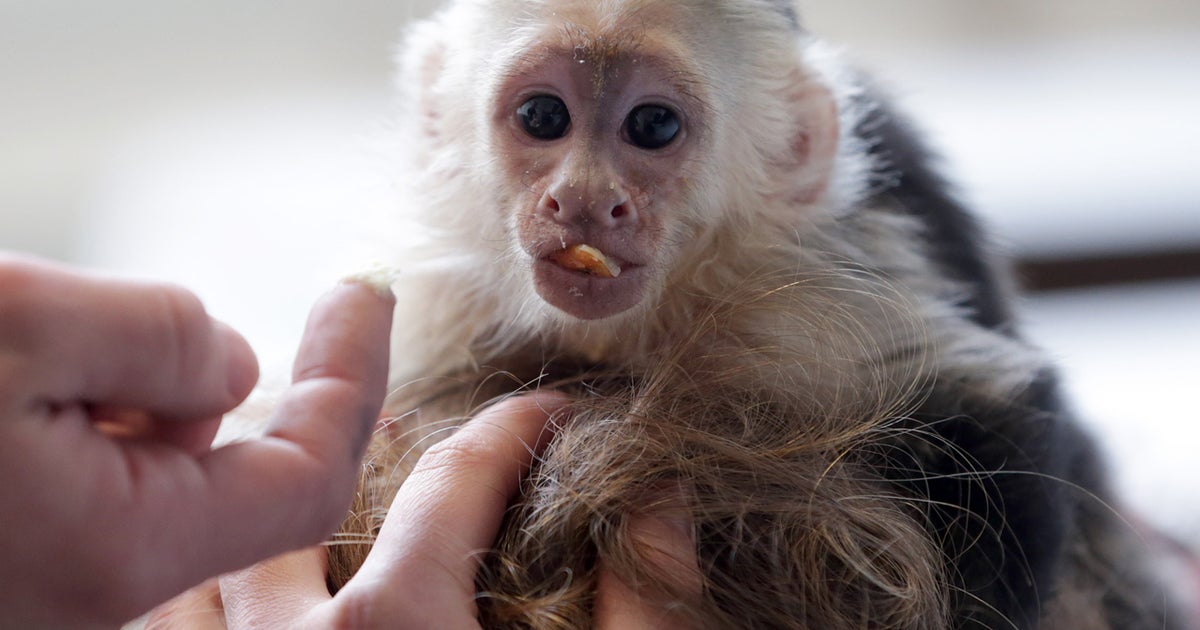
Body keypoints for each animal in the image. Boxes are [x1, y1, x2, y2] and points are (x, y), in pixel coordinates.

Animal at [221, 1, 1194, 628]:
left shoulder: (809, 295)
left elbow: (1003, 434)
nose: (585, 202)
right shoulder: (445, 297)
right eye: (543, 115)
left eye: (652, 127)